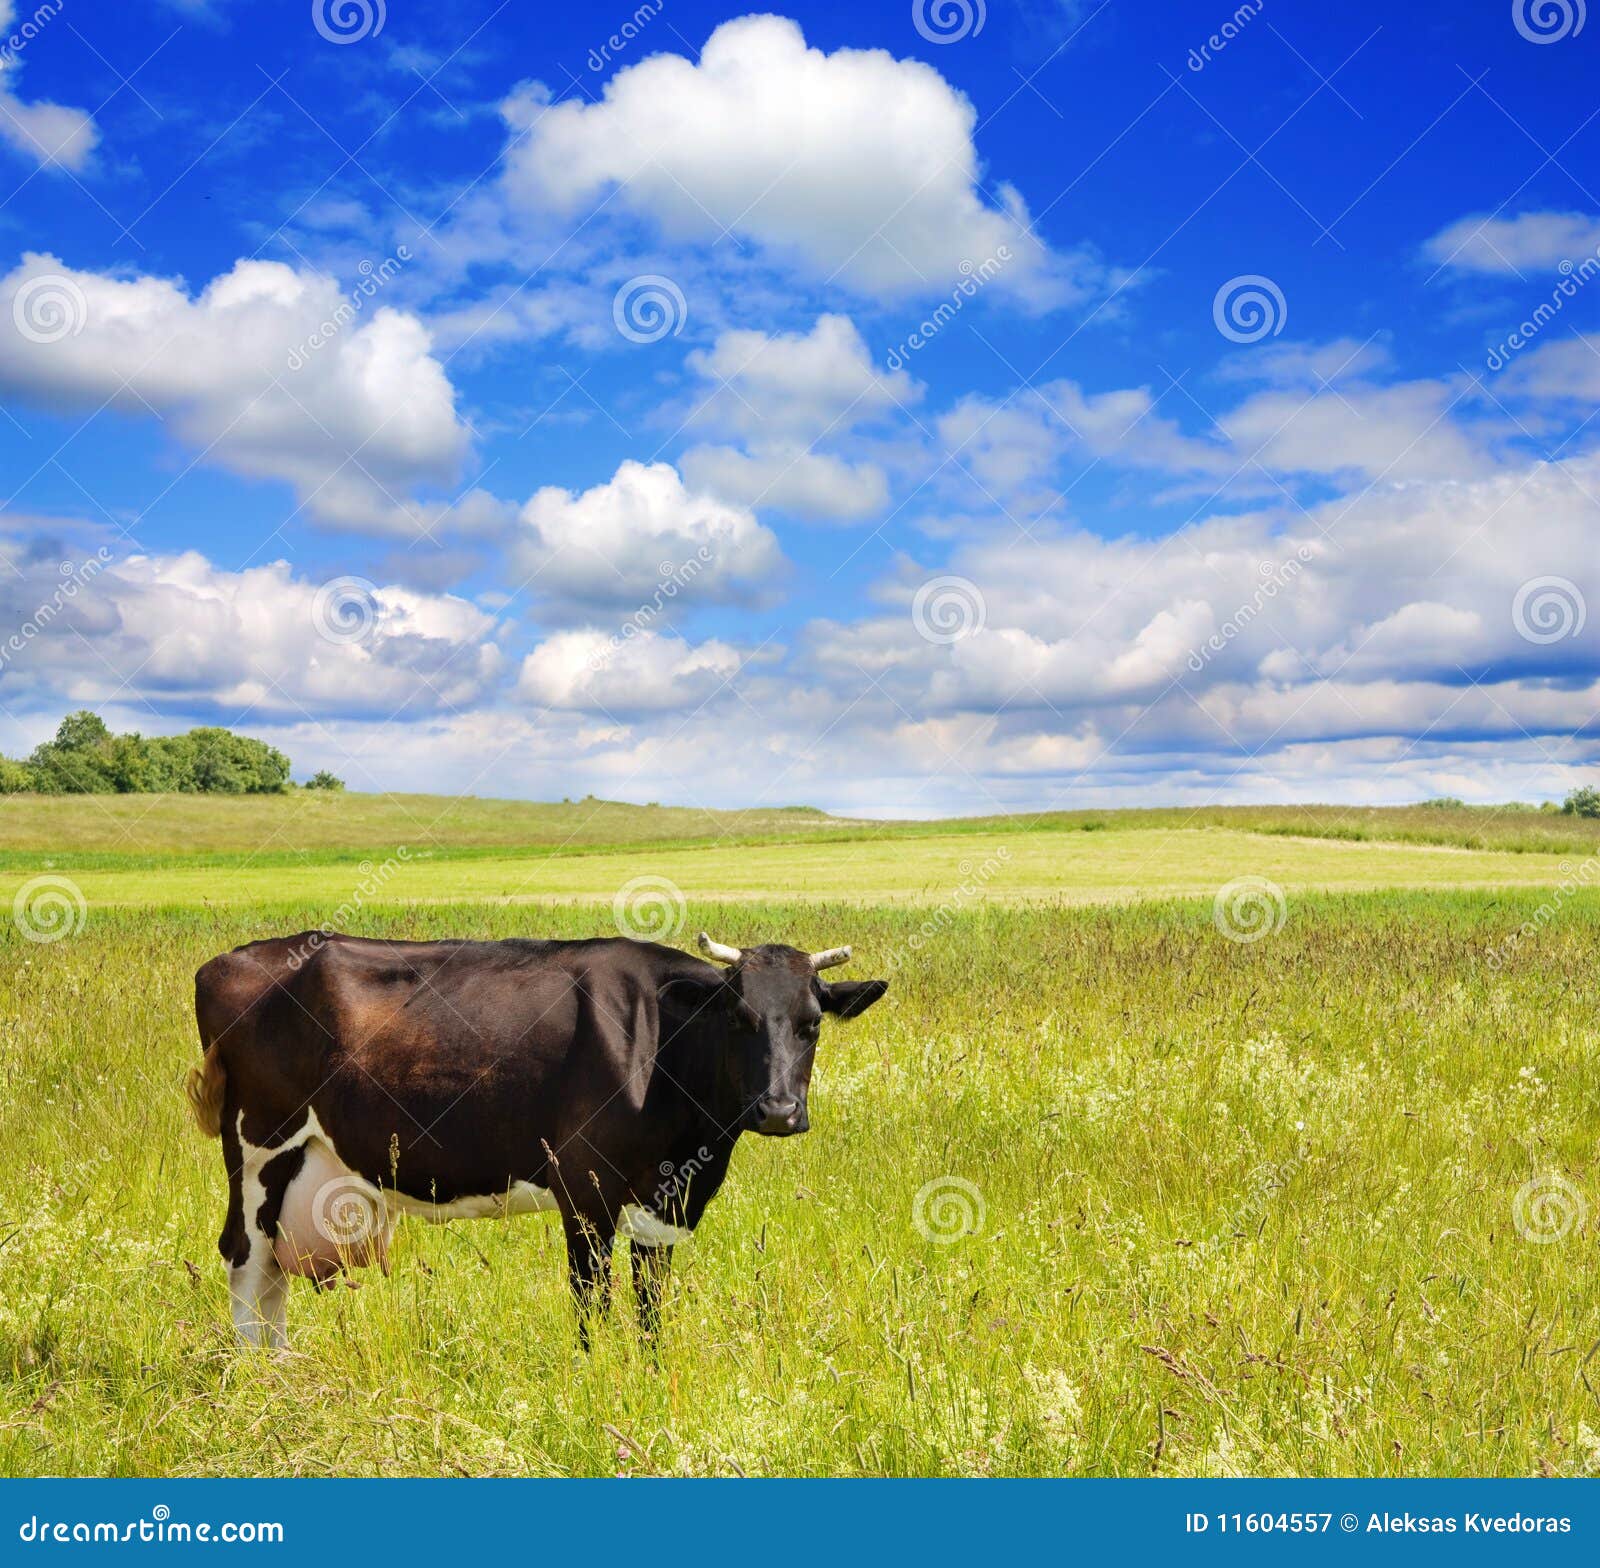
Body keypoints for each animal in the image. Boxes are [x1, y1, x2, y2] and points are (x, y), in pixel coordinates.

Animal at [186, 928, 888, 1349]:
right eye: (740, 1019)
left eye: (812, 1023)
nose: (778, 1110)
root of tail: (234, 958)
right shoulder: (584, 1188)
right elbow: (590, 1299)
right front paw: (595, 1381)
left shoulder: (670, 1199)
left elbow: (651, 1303)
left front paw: (652, 1375)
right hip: (260, 1148)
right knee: (246, 1260)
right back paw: (262, 1379)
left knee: (271, 1273)